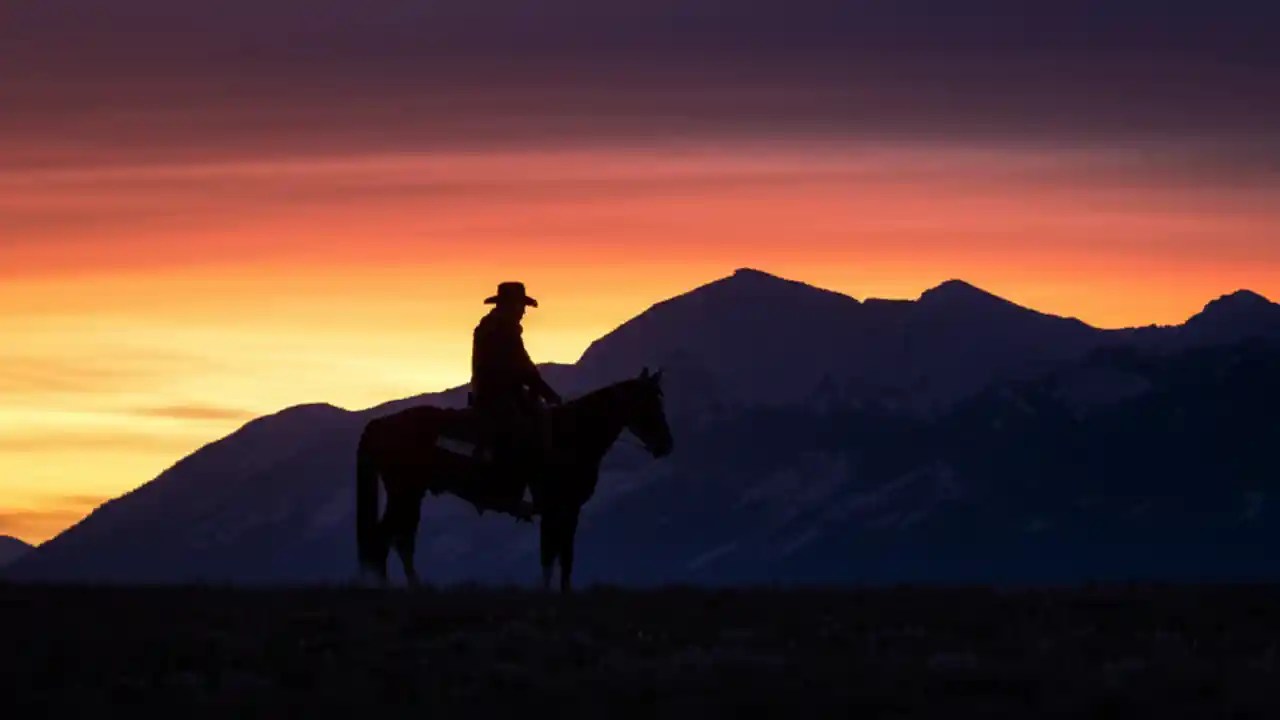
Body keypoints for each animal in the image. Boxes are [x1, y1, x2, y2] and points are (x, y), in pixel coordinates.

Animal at [355, 367, 673, 592]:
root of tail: (380, 424)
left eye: (660, 401)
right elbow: (552, 553)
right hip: (403, 492)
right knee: (385, 537)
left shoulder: (567, 510)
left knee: (401, 539)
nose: (666, 445)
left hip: (411, 494)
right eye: (648, 404)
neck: (570, 435)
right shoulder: (556, 507)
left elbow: (563, 554)